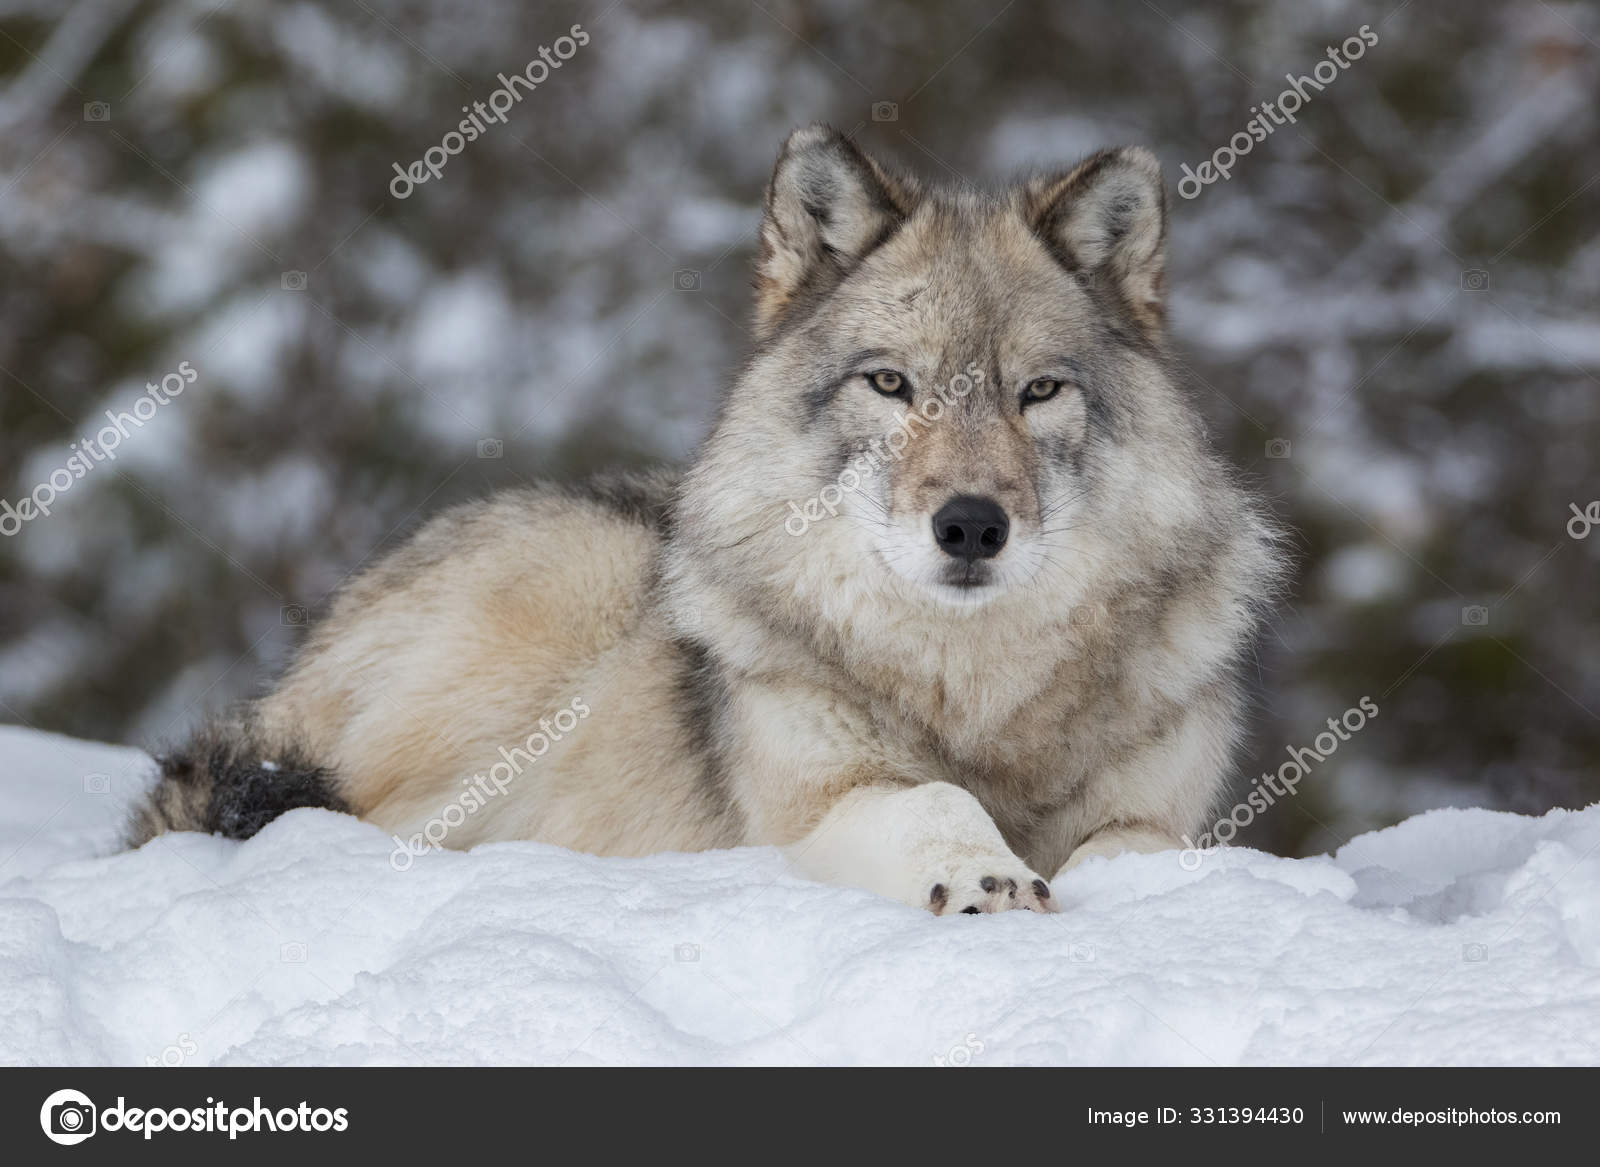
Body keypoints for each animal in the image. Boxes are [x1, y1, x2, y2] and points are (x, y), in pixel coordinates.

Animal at [130, 125, 1283, 914]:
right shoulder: (815, 805)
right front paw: (984, 877)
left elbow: (1145, 847)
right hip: (565, 600)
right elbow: (934, 802)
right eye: (892, 385)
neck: (977, 694)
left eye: (1037, 392)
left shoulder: (1159, 812)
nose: (969, 526)